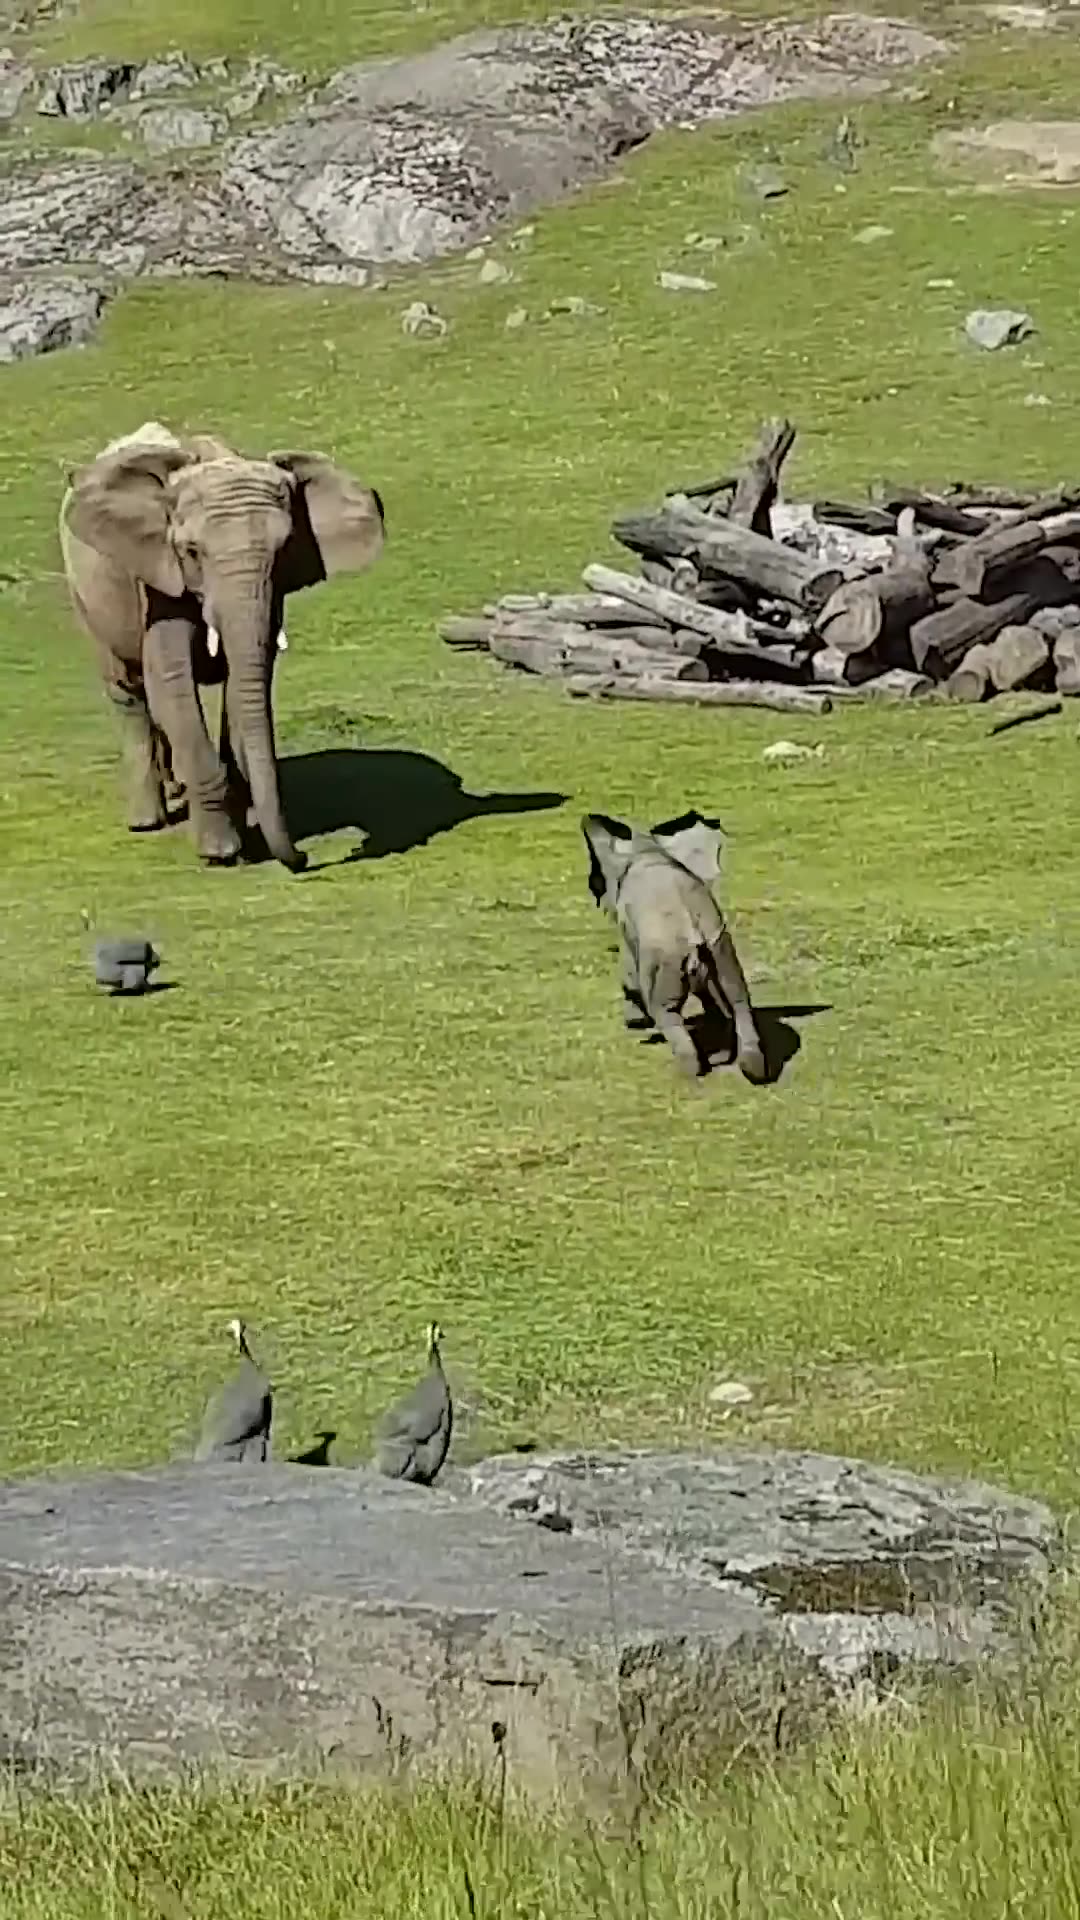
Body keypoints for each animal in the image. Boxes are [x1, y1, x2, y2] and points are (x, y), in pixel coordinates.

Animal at [59, 421, 385, 872]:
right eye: (192, 551)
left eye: (284, 551)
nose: (305, 857)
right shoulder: (158, 575)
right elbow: (171, 683)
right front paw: (220, 853)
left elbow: (244, 682)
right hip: (86, 597)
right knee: (128, 691)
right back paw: (146, 820)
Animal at [582, 808, 767, 1082]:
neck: (645, 849)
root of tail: (693, 932)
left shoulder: (630, 927)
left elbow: (629, 972)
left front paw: (636, 1022)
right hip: (720, 948)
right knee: (738, 1000)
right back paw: (750, 1068)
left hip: (665, 962)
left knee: (666, 1011)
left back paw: (692, 1070)